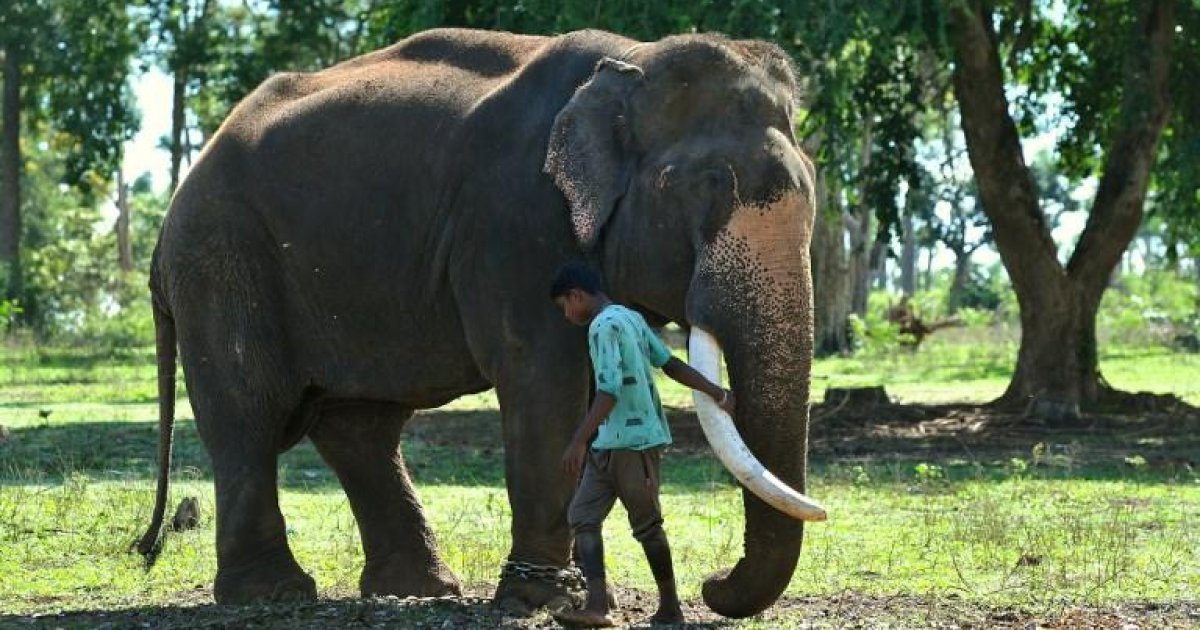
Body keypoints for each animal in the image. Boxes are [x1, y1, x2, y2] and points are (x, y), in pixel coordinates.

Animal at [136, 27, 822, 618]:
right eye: (698, 186)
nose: (715, 583)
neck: (632, 59)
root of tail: (169, 220)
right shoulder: (512, 222)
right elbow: (541, 382)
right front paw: (541, 600)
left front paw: (559, 594)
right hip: (221, 257)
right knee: (248, 413)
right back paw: (274, 594)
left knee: (361, 426)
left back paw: (420, 589)